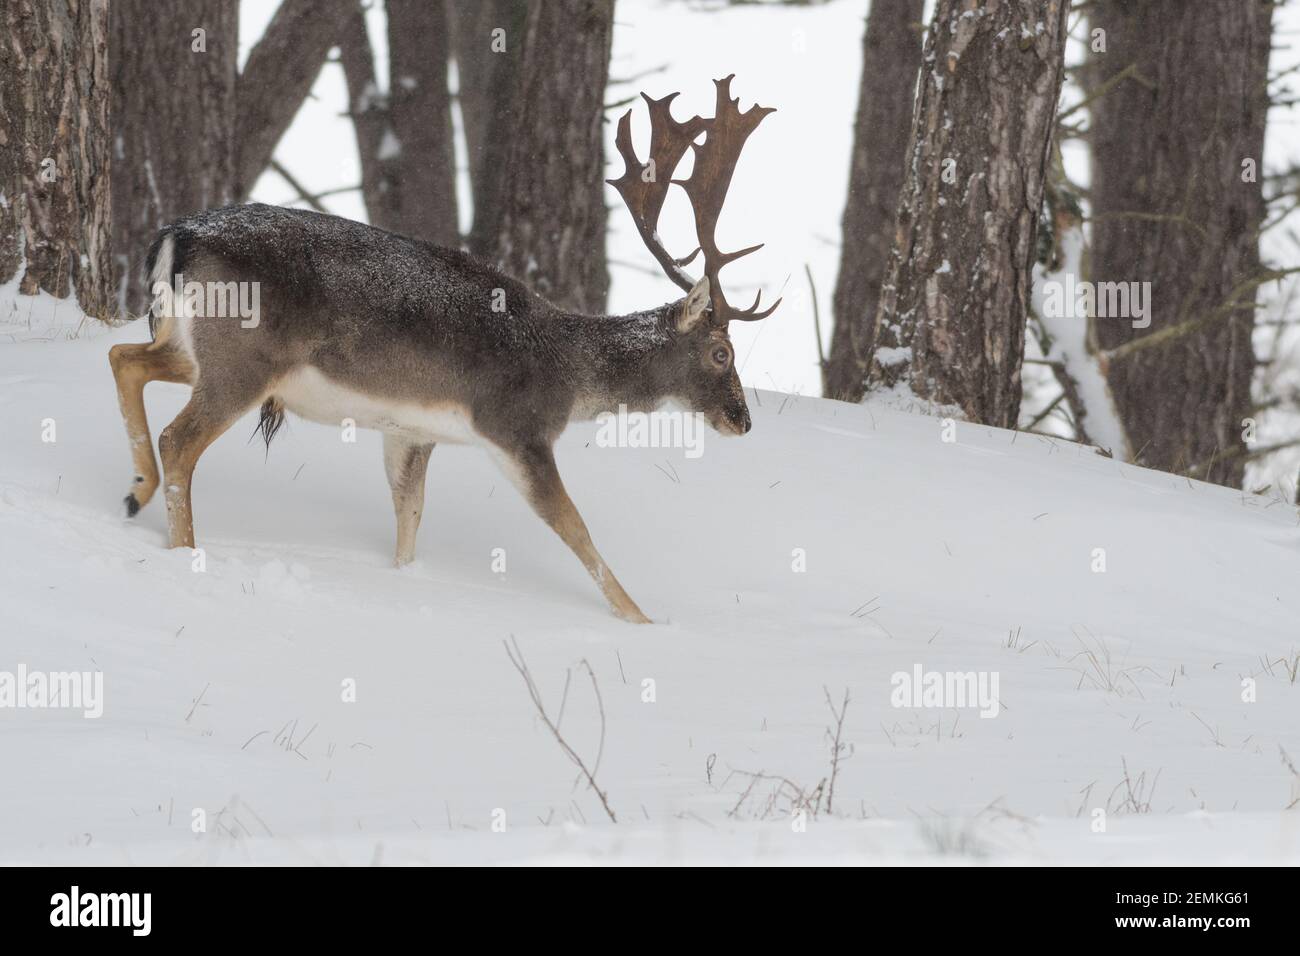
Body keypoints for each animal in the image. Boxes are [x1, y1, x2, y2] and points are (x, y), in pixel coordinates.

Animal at [107, 75, 778, 624]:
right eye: (722, 352)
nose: (742, 421)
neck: (568, 373)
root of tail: (178, 235)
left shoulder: (410, 431)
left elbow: (409, 517)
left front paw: (406, 581)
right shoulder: (517, 428)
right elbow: (576, 529)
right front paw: (643, 620)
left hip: (195, 346)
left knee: (124, 358)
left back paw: (135, 492)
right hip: (243, 359)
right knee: (178, 437)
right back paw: (183, 548)